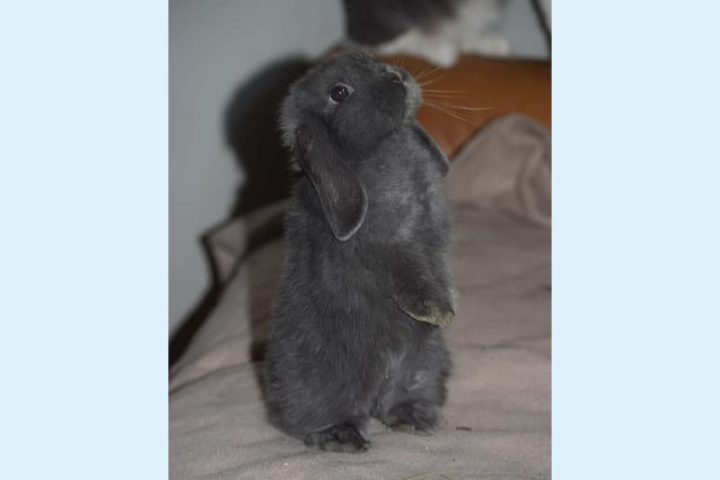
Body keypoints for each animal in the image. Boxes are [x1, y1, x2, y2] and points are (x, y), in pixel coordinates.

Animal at [265, 51, 455, 453]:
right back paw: (341, 437)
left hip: (425, 364)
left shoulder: (433, 237)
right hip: (325, 382)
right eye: (339, 92)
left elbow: (437, 267)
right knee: (306, 418)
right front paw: (437, 312)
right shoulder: (389, 245)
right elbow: (411, 272)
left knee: (397, 401)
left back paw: (415, 419)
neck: (384, 146)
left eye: (375, 62)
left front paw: (445, 308)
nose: (397, 77)